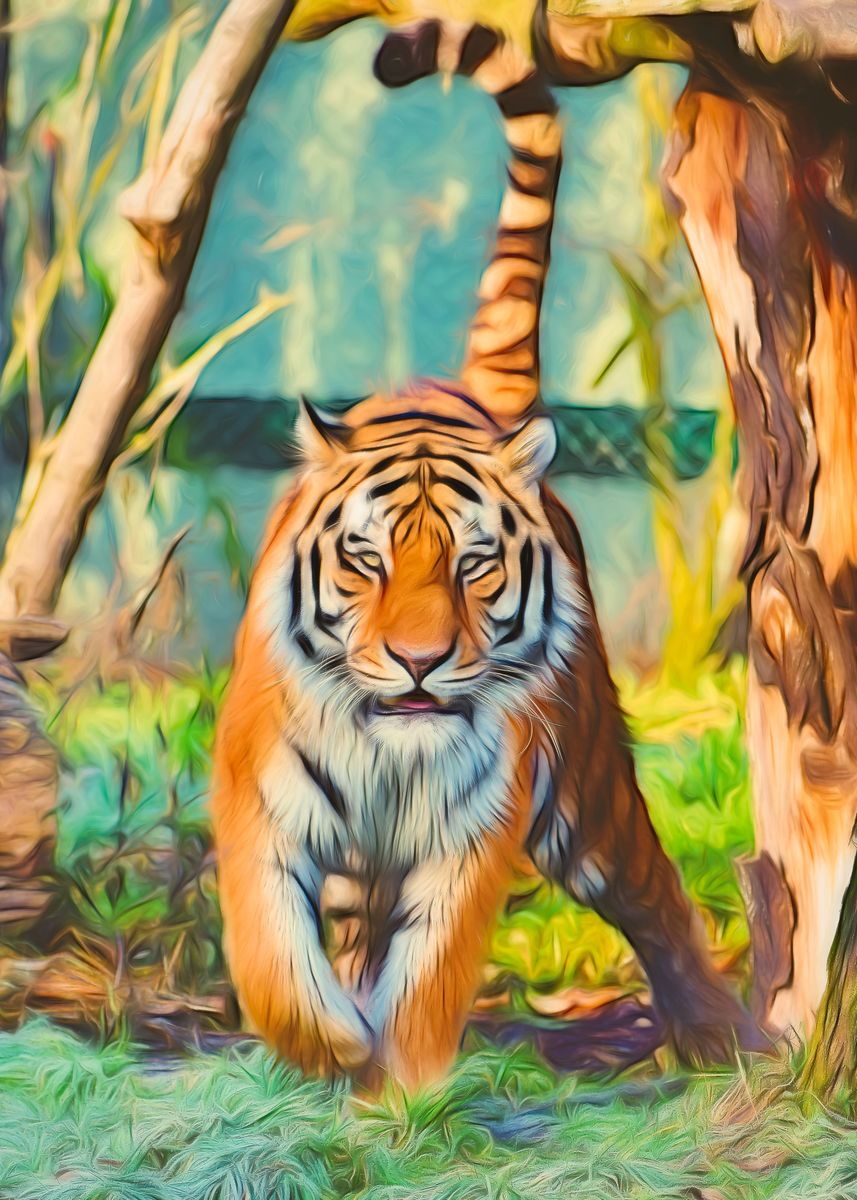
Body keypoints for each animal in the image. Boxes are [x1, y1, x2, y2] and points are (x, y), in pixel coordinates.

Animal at [212, 18, 762, 1092]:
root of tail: (467, 390)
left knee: (656, 895)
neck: (389, 755)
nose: (421, 662)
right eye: (366, 561)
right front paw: (332, 1048)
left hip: (587, 791)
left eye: (474, 567)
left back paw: (724, 1038)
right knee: (355, 931)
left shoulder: (474, 834)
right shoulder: (258, 805)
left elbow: (431, 982)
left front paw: (402, 1088)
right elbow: (271, 960)